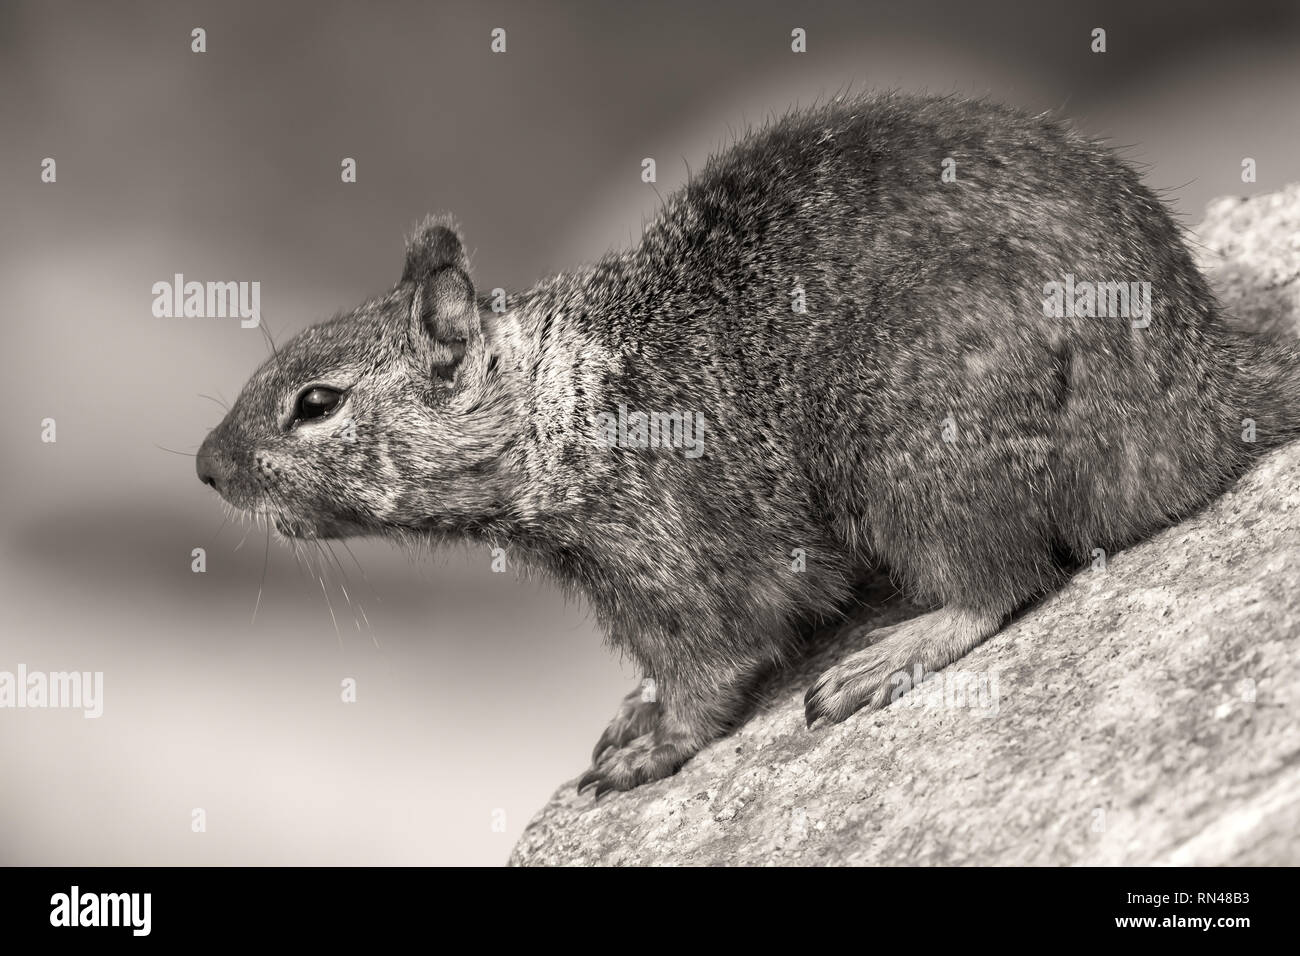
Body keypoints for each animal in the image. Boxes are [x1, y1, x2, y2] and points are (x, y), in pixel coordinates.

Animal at [196, 92, 1300, 795]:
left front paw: (651, 747)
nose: (206, 465)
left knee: (1004, 578)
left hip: (915, 455)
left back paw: (886, 656)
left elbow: (711, 665)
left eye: (315, 403)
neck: (569, 403)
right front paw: (632, 711)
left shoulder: (676, 561)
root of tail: (1201, 396)